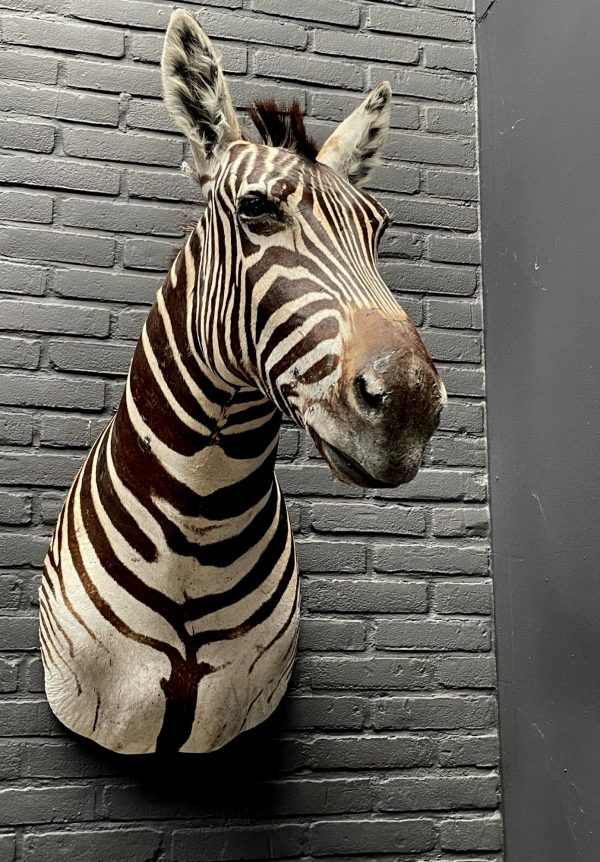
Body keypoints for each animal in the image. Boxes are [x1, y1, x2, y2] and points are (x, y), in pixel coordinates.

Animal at [40, 10, 446, 754]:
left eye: (379, 231)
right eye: (255, 207)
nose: (409, 405)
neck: (200, 521)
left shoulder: (244, 693)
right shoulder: (98, 691)